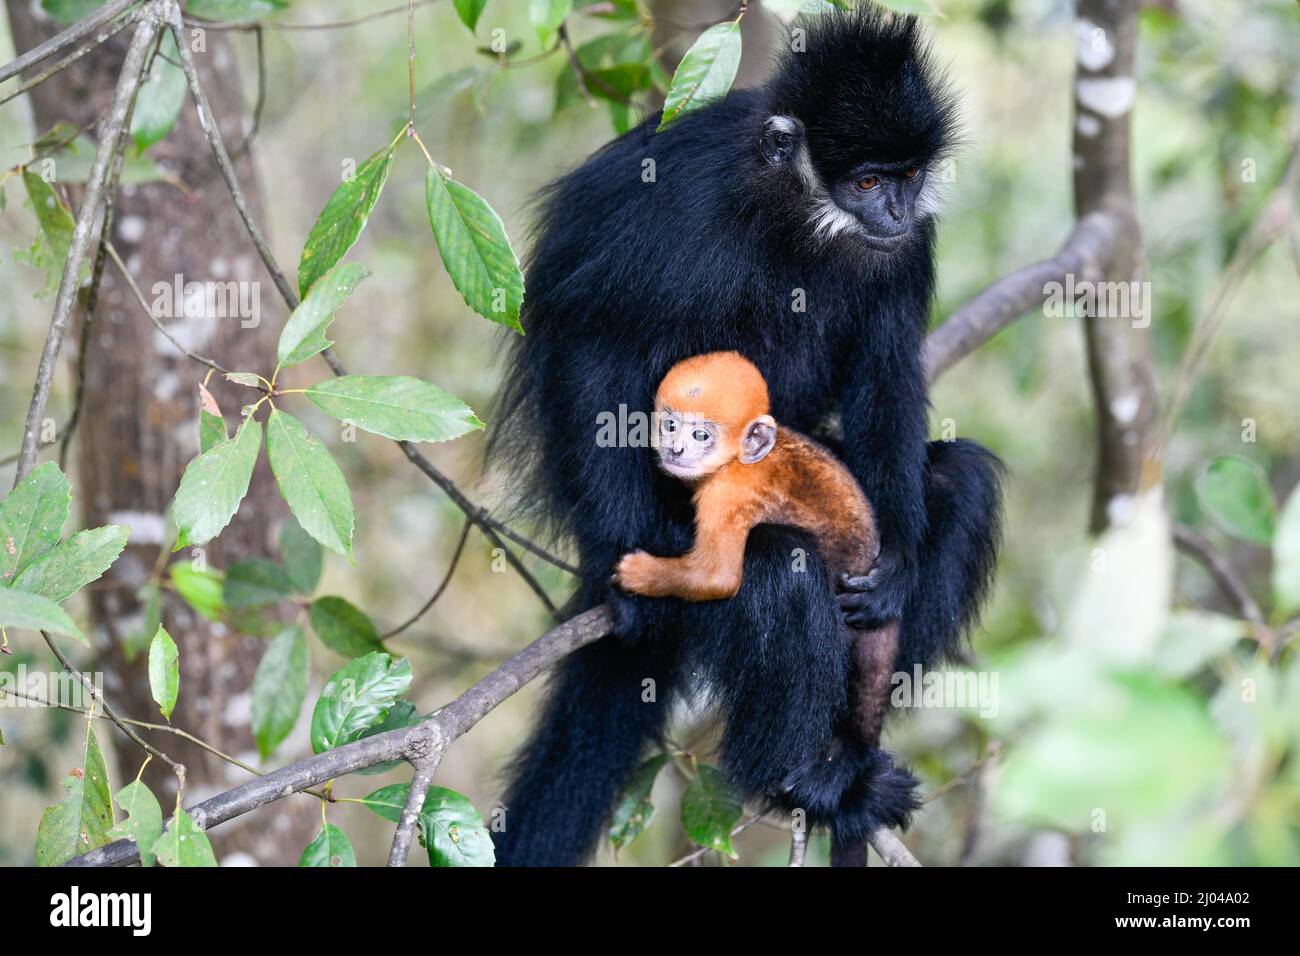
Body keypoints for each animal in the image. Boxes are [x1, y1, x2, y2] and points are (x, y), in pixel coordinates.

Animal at [613, 352, 901, 751]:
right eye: (670, 426)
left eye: (700, 435)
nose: (676, 449)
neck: (738, 460)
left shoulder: (726, 495)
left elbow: (717, 578)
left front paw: (637, 573)